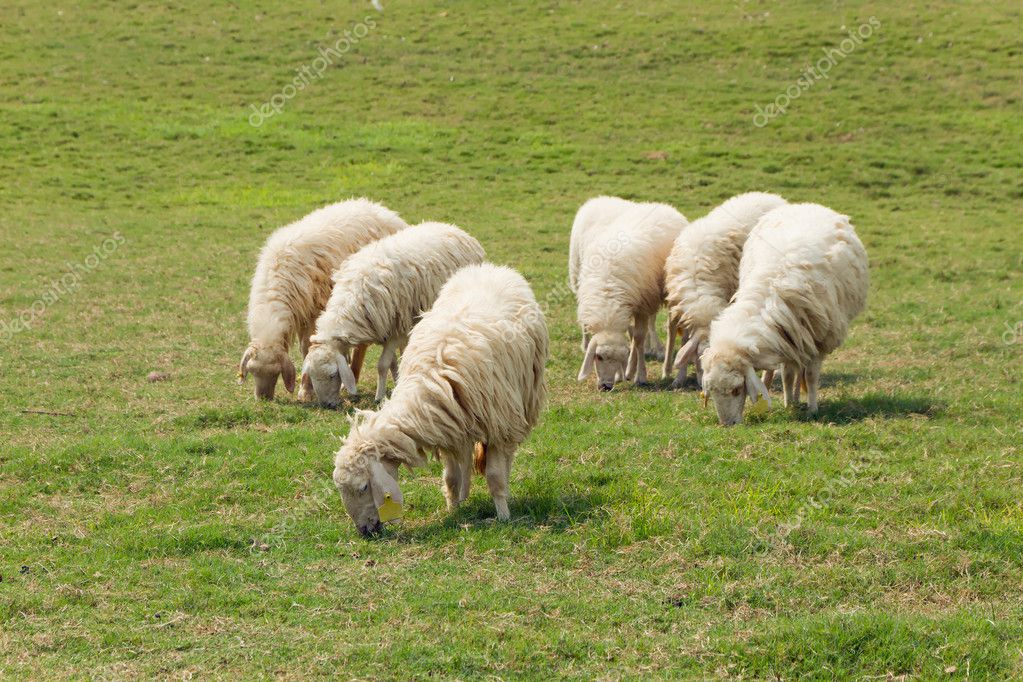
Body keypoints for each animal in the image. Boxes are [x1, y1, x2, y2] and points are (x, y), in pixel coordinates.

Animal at [239, 199, 409, 401]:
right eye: (251, 371)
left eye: (276, 372)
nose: (263, 399)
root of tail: (386, 212)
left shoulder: (314, 312)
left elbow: (307, 349)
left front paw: (306, 391)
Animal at [303, 222, 486, 406]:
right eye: (311, 375)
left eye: (333, 375)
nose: (327, 405)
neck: (353, 298)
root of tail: (455, 229)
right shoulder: (384, 330)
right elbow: (391, 363)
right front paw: (397, 381)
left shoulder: (397, 329)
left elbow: (382, 365)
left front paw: (379, 396)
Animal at [332, 263, 548, 535]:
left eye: (363, 487)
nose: (364, 531)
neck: (431, 382)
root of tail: (491, 268)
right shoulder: (447, 427)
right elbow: (451, 477)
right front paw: (453, 509)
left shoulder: (498, 423)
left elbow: (494, 476)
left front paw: (503, 515)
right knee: (465, 459)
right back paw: (464, 495)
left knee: (504, 457)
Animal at [663, 192, 787, 388]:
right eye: (699, 358)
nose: (703, 386)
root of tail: (771, 196)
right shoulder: (681, 308)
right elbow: (682, 338)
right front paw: (678, 377)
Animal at [701, 203, 869, 425]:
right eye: (711, 391)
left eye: (737, 389)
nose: (728, 425)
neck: (770, 297)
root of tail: (807, 204)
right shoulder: (786, 334)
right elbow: (787, 374)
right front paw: (789, 404)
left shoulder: (817, 338)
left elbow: (811, 376)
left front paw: (812, 409)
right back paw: (795, 398)